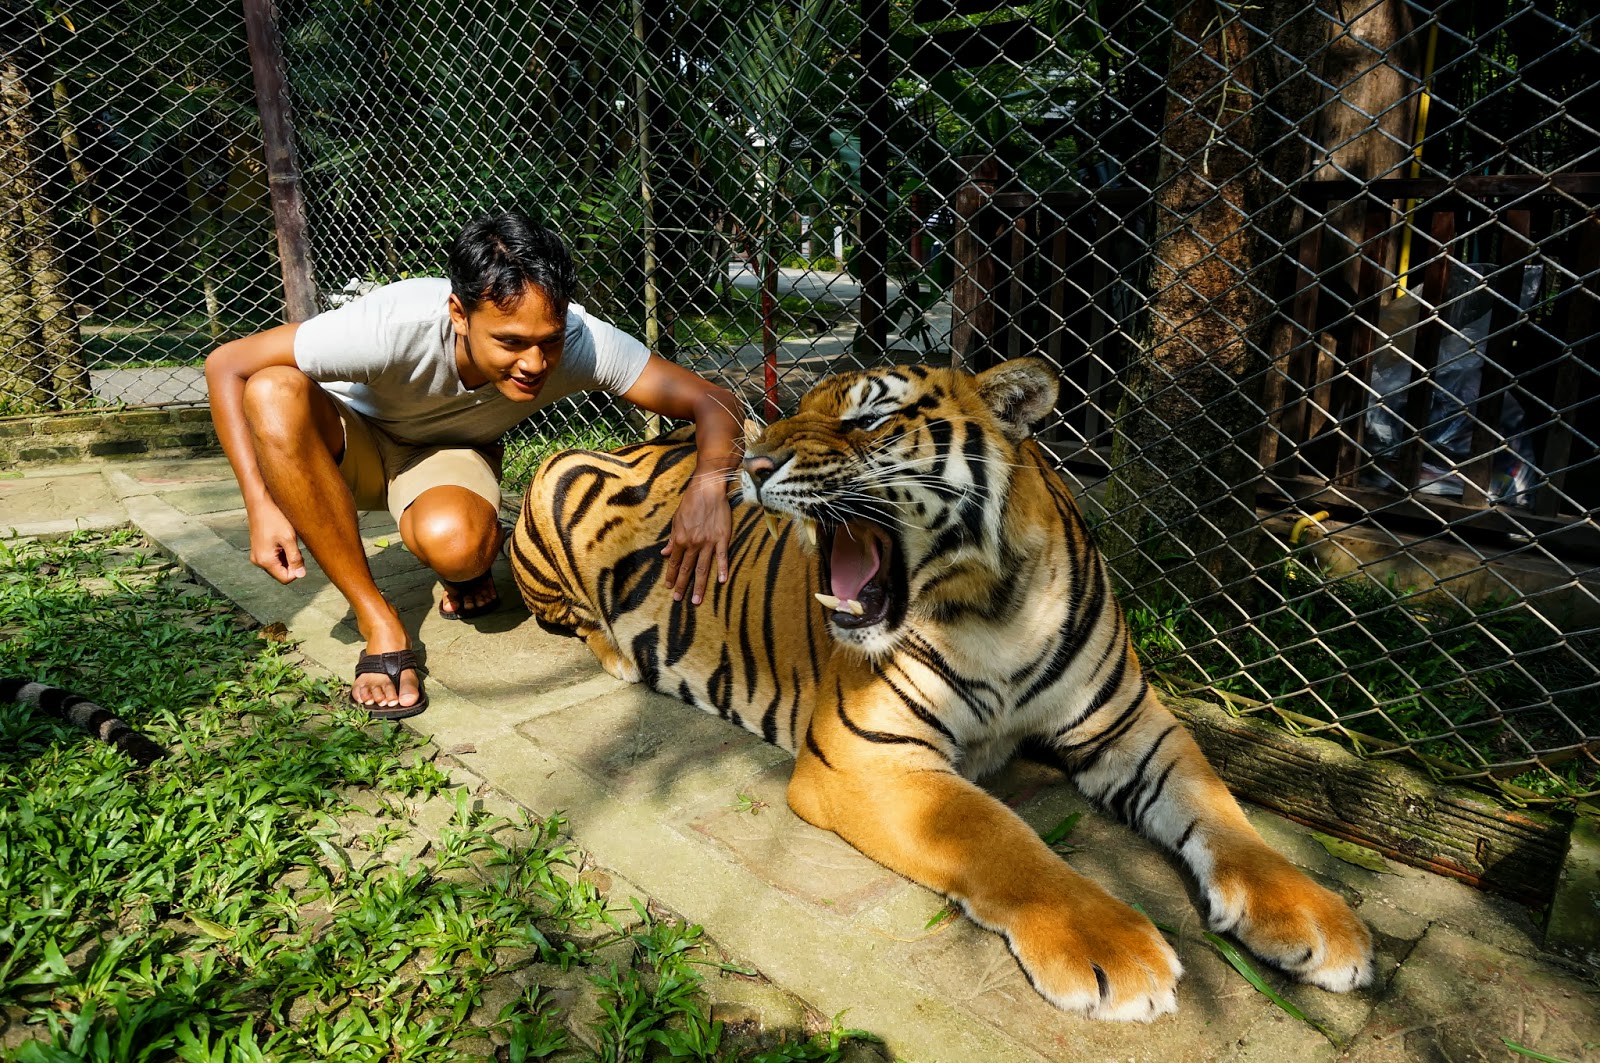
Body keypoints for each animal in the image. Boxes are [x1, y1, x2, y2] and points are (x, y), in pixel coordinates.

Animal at [509, 357, 1373, 1021]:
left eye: (867, 419)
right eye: (796, 412)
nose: (750, 468)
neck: (997, 604)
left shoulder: (1130, 722)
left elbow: (1219, 808)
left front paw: (1316, 919)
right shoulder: (866, 752)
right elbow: (995, 834)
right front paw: (1115, 949)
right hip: (547, 492)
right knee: (568, 614)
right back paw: (618, 654)